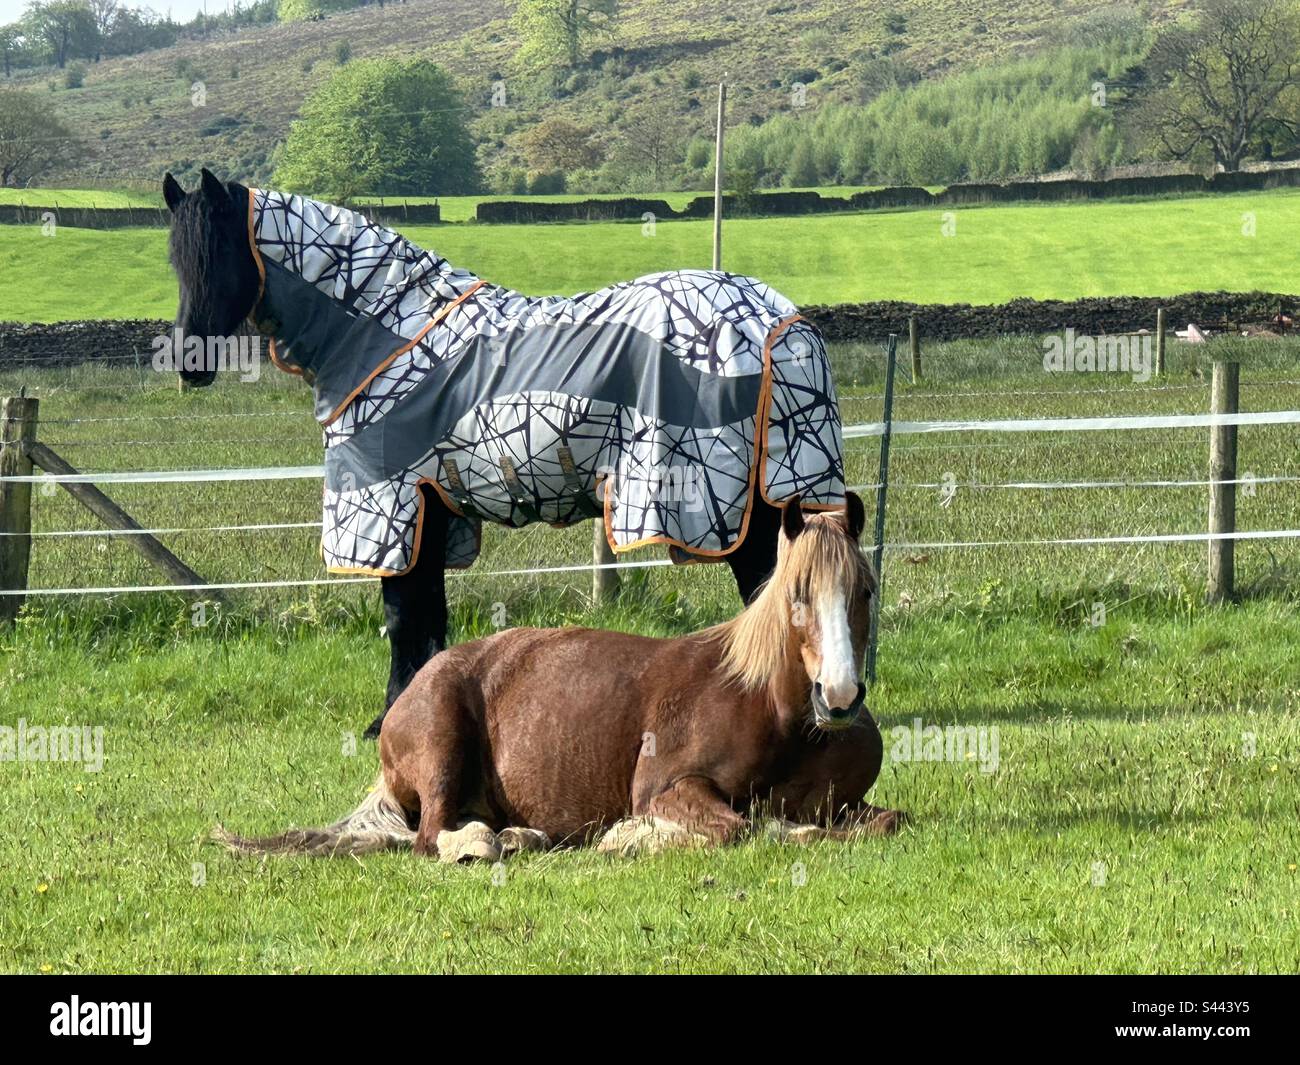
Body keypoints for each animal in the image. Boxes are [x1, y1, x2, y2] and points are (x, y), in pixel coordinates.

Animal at [164, 169, 846, 738]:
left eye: (218, 254)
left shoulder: (394, 507)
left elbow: (403, 619)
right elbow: (428, 618)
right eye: (176, 259)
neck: (386, 334)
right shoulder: (430, 512)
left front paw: (386, 722)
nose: (189, 364)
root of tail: (779, 321)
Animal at [214, 494, 904, 861]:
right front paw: (630, 838)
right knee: (432, 837)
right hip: (440, 747)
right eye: (797, 594)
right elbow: (740, 826)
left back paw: (520, 834)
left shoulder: (849, 802)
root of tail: (413, 687)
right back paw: (493, 843)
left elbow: (885, 820)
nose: (840, 698)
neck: (779, 721)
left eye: (865, 590)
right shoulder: (666, 789)